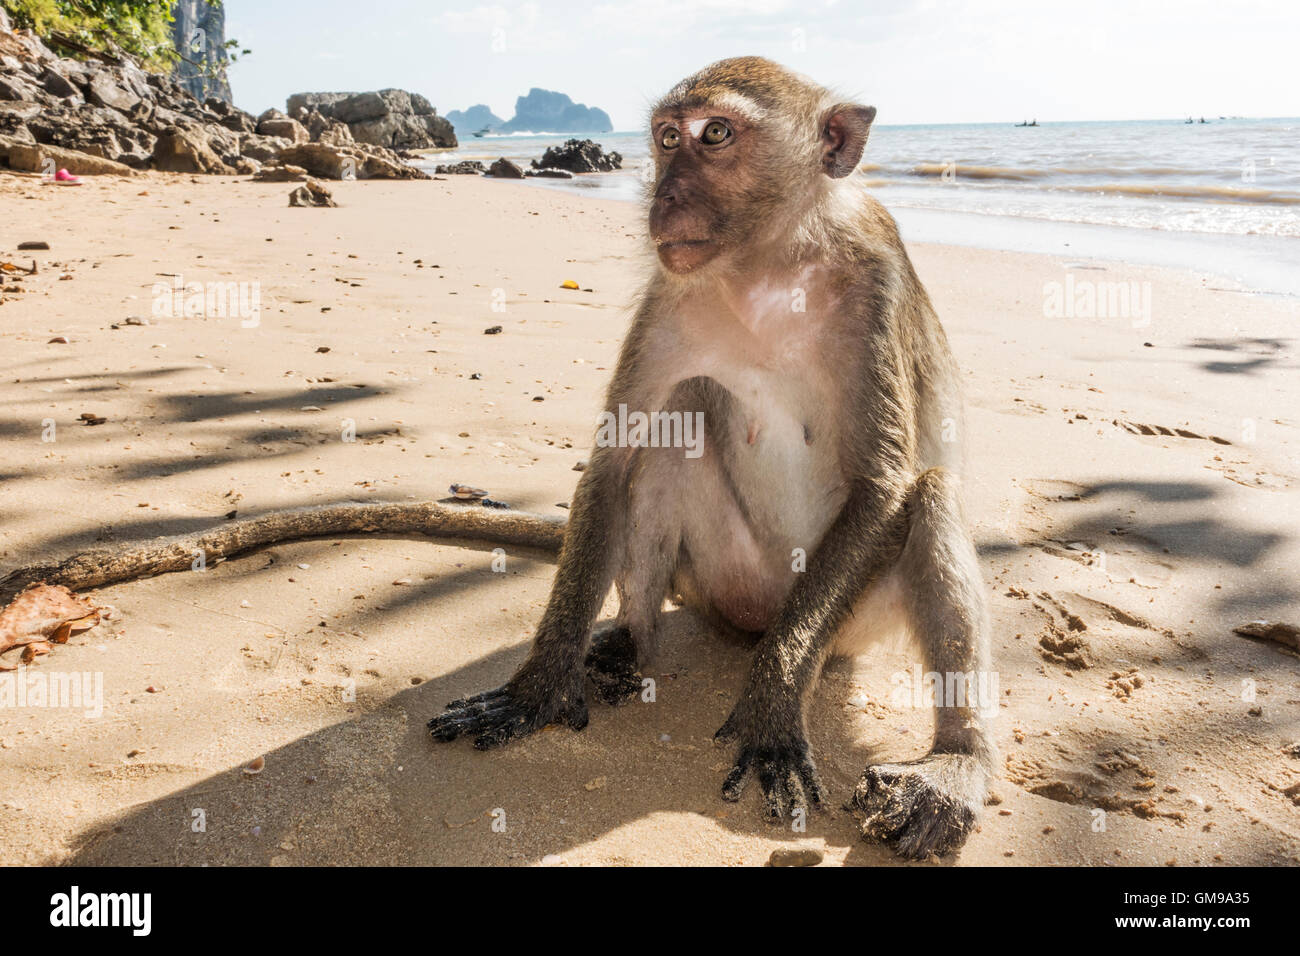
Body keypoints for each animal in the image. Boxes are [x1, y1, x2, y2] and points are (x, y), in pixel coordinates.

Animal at [429, 56, 996, 860]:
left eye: (716, 134)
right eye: (668, 138)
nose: (664, 195)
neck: (770, 267)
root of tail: (753, 617)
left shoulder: (876, 282)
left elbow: (882, 486)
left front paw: (772, 701)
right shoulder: (671, 293)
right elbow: (614, 463)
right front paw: (539, 686)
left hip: (856, 621)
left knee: (934, 492)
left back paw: (953, 764)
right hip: (715, 578)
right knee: (677, 429)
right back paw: (633, 644)